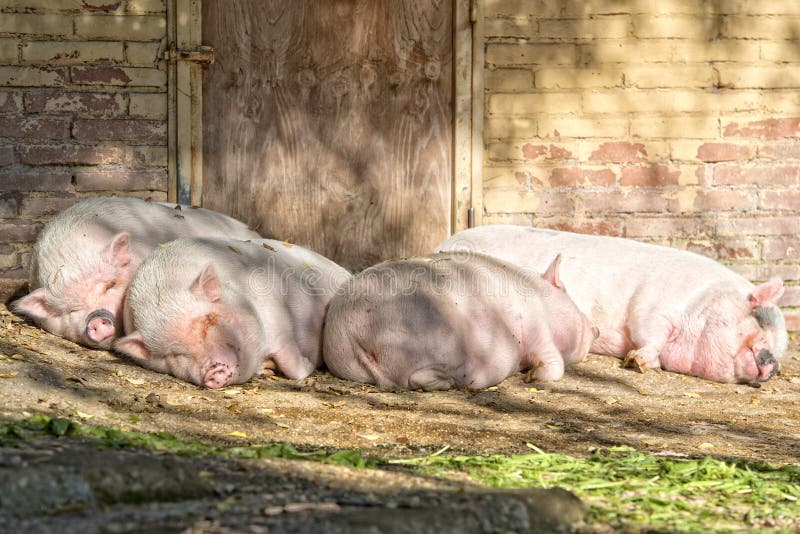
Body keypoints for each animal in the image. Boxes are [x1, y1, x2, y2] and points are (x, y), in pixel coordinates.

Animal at [114, 237, 351, 388]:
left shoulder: (281, 327)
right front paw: (267, 369)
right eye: (174, 353)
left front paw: (309, 365)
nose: (213, 370)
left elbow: (294, 367)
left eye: (208, 319)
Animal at [323, 252, 597, 391]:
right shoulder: (537, 327)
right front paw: (532, 378)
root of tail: (350, 330)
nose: (596, 329)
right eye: (567, 291)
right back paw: (450, 383)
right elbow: (554, 363)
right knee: (419, 378)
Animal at [436, 226, 788, 384]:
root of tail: (444, 242)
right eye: (757, 323)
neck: (698, 303)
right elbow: (650, 336)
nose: (774, 365)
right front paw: (636, 363)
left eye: (780, 345)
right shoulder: (650, 307)